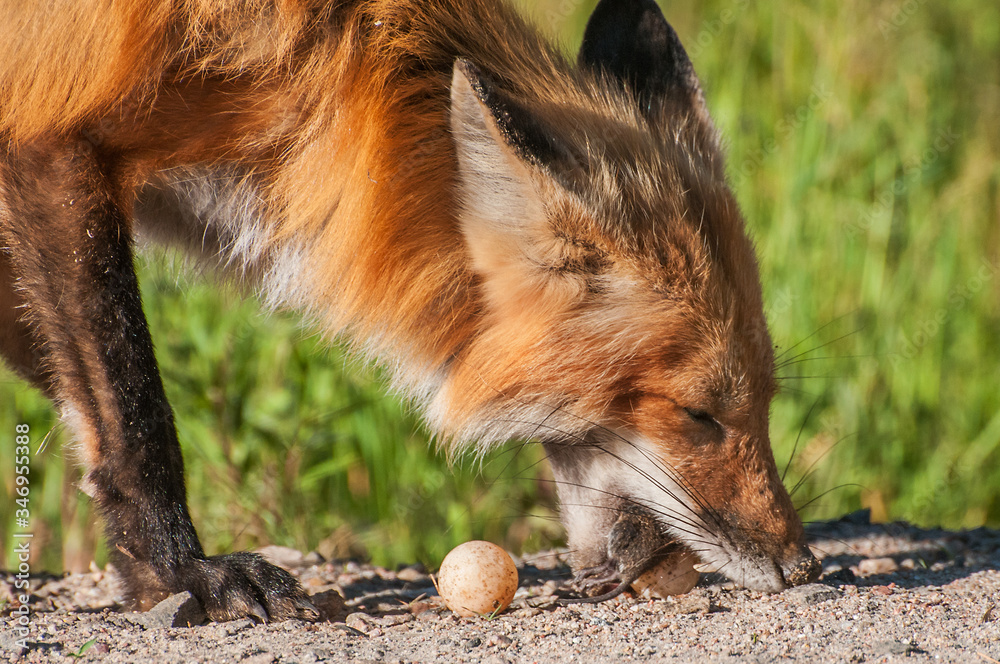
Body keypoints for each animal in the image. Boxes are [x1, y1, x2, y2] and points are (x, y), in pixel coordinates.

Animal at [0, 0, 821, 621]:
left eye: (766, 401)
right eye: (698, 415)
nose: (802, 565)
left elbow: (83, 406)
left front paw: (142, 576)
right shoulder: (51, 139)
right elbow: (136, 414)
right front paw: (181, 576)